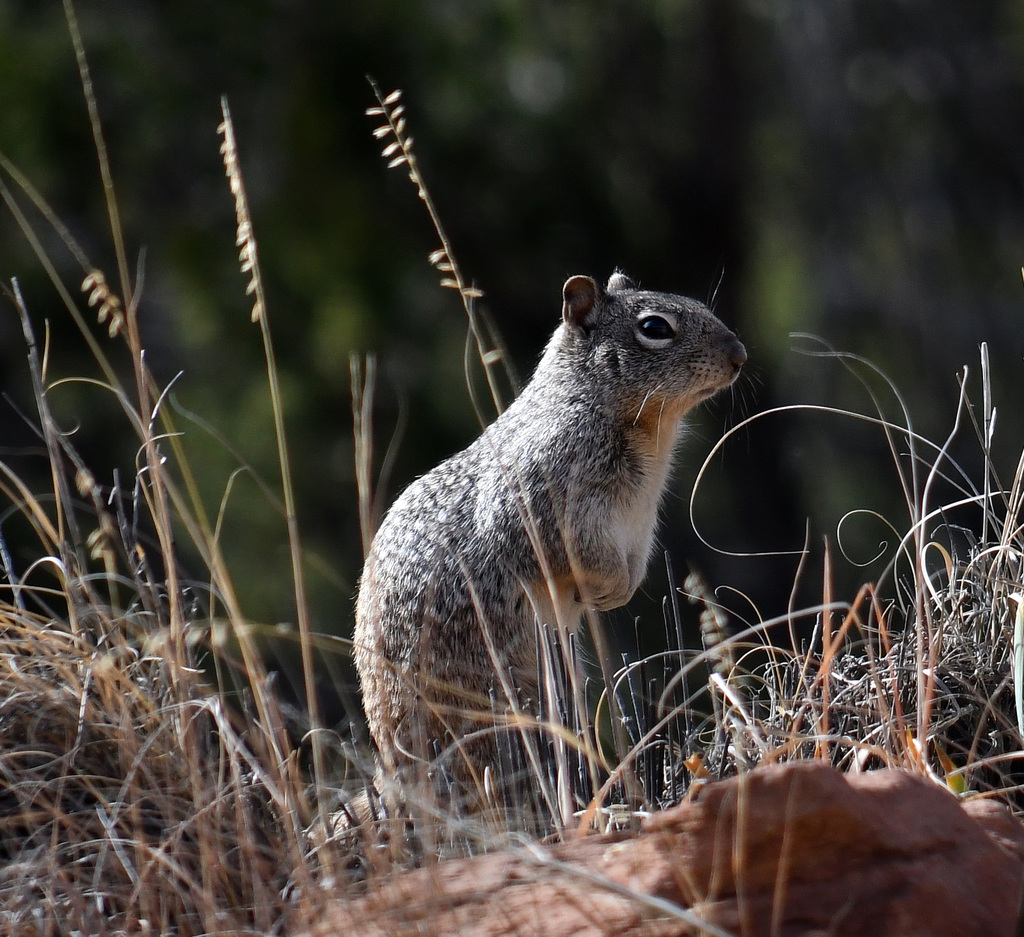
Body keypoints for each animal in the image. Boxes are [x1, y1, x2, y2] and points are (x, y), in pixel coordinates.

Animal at [354, 272, 745, 810]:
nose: (739, 354)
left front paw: (620, 591)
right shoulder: (541, 507)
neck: (649, 429)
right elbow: (575, 554)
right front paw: (606, 588)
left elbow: (633, 562)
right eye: (654, 327)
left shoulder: (638, 528)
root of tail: (394, 774)